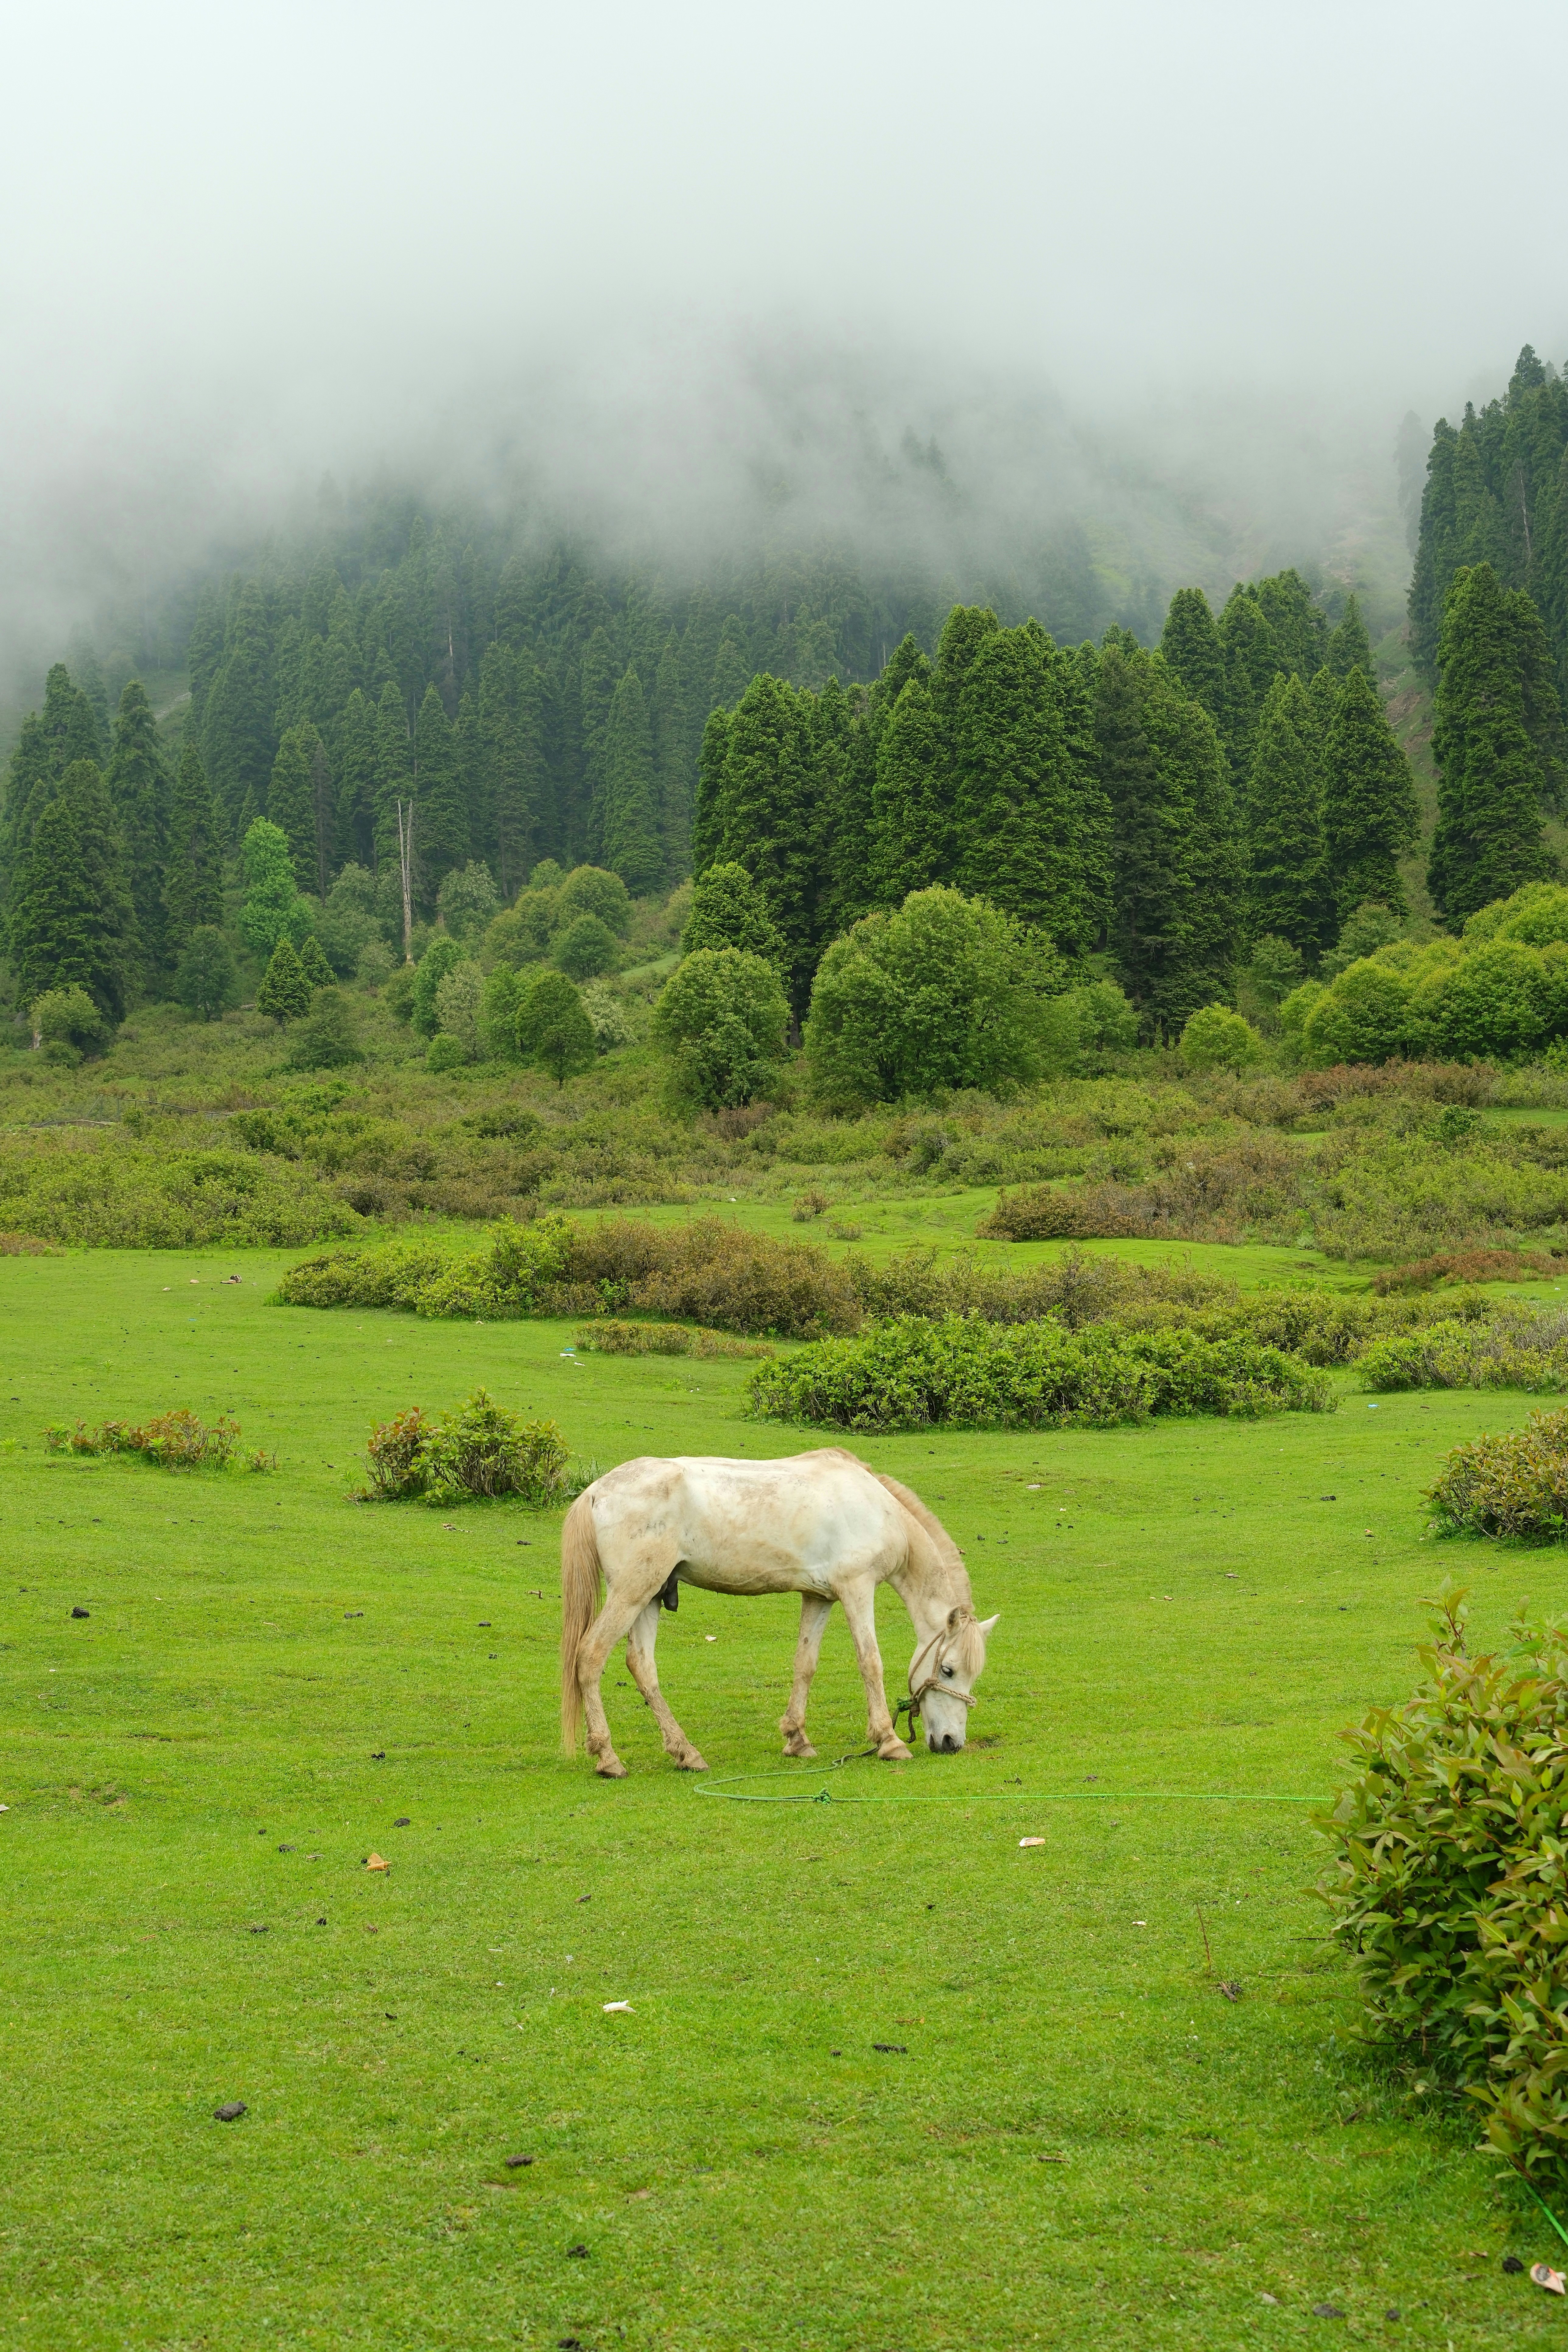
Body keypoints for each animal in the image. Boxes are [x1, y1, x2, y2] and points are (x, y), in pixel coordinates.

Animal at [559, 1446, 997, 1777]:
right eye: (948, 1671)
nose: (951, 1743)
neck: (878, 1508)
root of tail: (596, 1490)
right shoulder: (857, 1589)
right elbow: (870, 1662)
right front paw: (888, 1741)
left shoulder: (819, 1598)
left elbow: (805, 1664)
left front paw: (797, 1739)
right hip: (632, 1593)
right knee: (591, 1657)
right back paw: (608, 1759)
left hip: (649, 1596)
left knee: (642, 1666)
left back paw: (686, 1753)